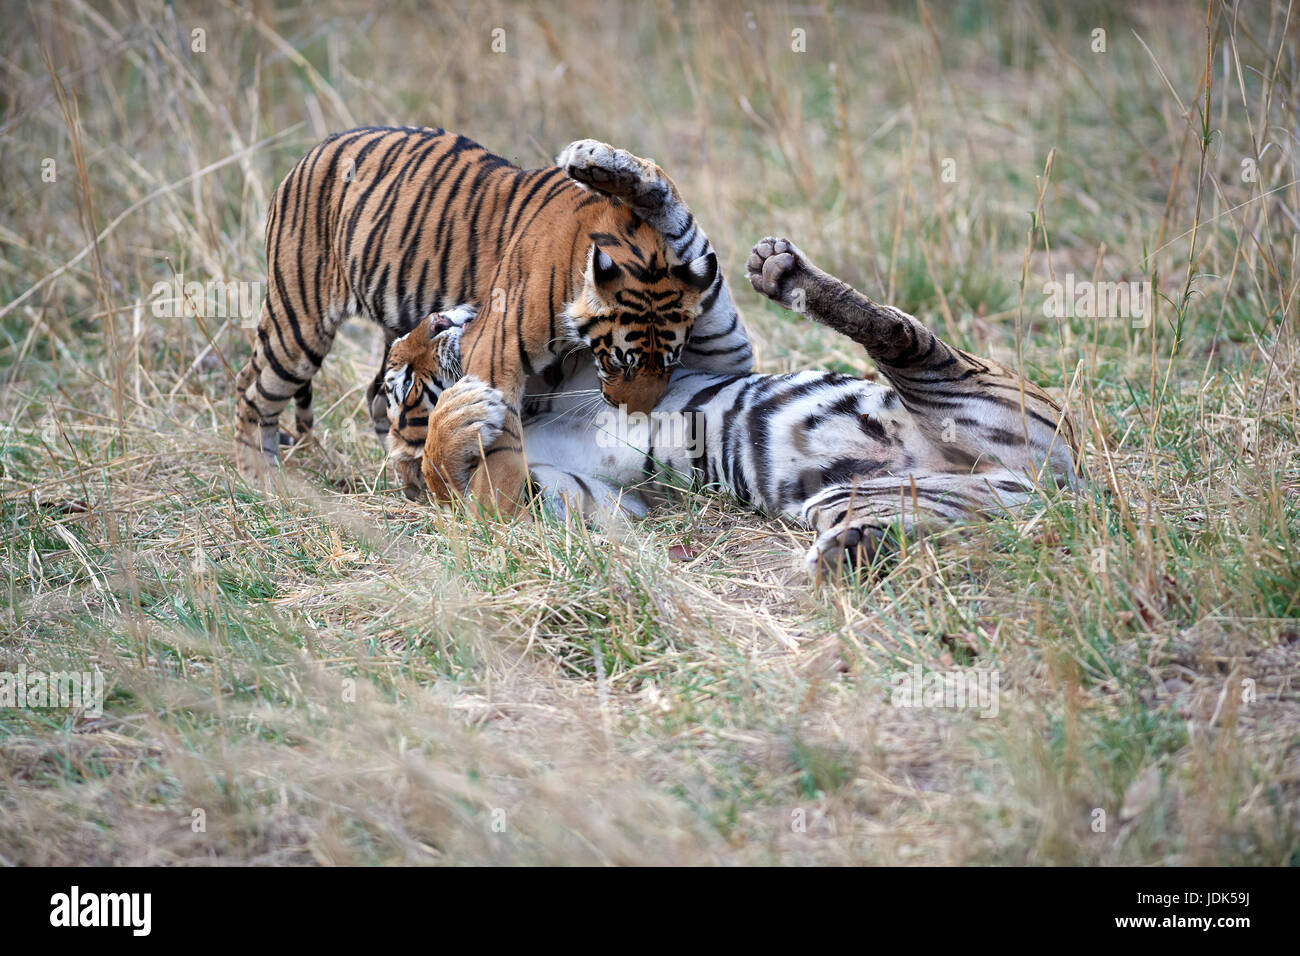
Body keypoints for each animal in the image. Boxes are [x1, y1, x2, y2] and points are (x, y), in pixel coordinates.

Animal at [233, 128, 752, 505]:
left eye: (669, 364)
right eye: (617, 363)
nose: (634, 413)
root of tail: (312, 152)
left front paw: (604, 165)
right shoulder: (497, 350)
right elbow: (499, 440)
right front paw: (498, 507)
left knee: (374, 400)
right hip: (298, 324)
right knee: (252, 390)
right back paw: (259, 478)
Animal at [385, 237, 1081, 576]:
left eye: (415, 354)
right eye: (405, 384)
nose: (434, 322)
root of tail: (1061, 481)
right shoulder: (579, 500)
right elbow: (461, 489)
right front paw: (456, 423)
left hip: (951, 381)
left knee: (893, 329)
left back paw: (785, 274)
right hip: (891, 498)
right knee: (910, 530)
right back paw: (847, 554)